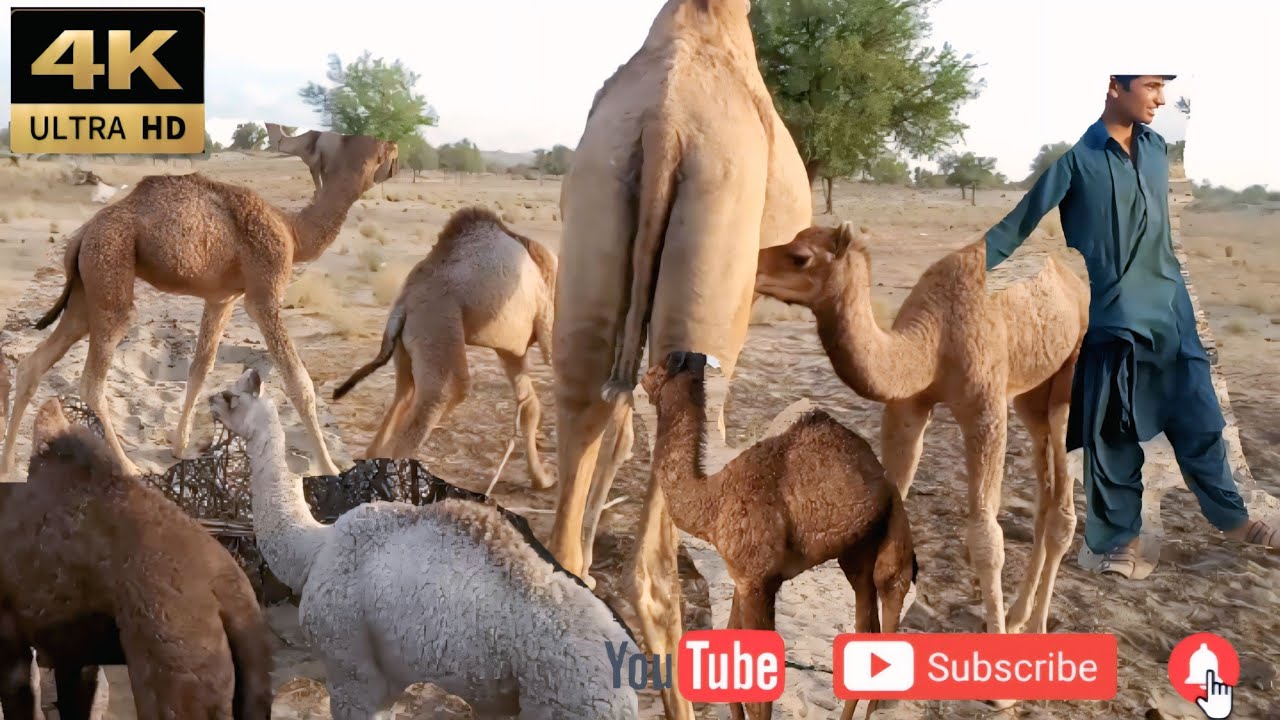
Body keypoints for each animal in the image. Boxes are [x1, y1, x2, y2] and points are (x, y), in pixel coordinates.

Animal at [0, 133, 398, 480]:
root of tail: (82, 233)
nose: (396, 152)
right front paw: (330, 468)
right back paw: (127, 466)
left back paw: (9, 465)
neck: (293, 231)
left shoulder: (222, 299)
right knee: (92, 382)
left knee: (35, 363)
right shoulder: (264, 293)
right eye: (380, 149)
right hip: (109, 268)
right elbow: (299, 382)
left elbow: (200, 368)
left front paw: (180, 444)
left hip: (88, 290)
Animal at [210, 368, 641, 719]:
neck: (313, 548)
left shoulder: (352, 671)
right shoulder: (388, 681)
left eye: (232, 396)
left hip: (568, 701)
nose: (212, 401)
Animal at [331, 206, 557, 491]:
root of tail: (403, 304)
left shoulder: (512, 350)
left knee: (405, 394)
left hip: (408, 345)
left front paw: (543, 479)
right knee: (445, 394)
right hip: (440, 327)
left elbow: (529, 406)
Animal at [642, 351, 916, 720]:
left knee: (891, 594)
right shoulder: (744, 579)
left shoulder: (758, 581)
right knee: (866, 627)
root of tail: (885, 481)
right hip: (858, 551)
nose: (641, 379)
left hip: (892, 537)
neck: (712, 499)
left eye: (658, 367)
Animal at [754, 222, 1090, 637]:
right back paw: (1017, 616)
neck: (933, 340)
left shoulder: (985, 405)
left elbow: (986, 538)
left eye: (800, 256)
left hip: (1072, 373)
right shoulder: (908, 405)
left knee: (1062, 509)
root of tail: (1074, 283)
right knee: (1045, 495)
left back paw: (1035, 627)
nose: (752, 270)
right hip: (1032, 392)